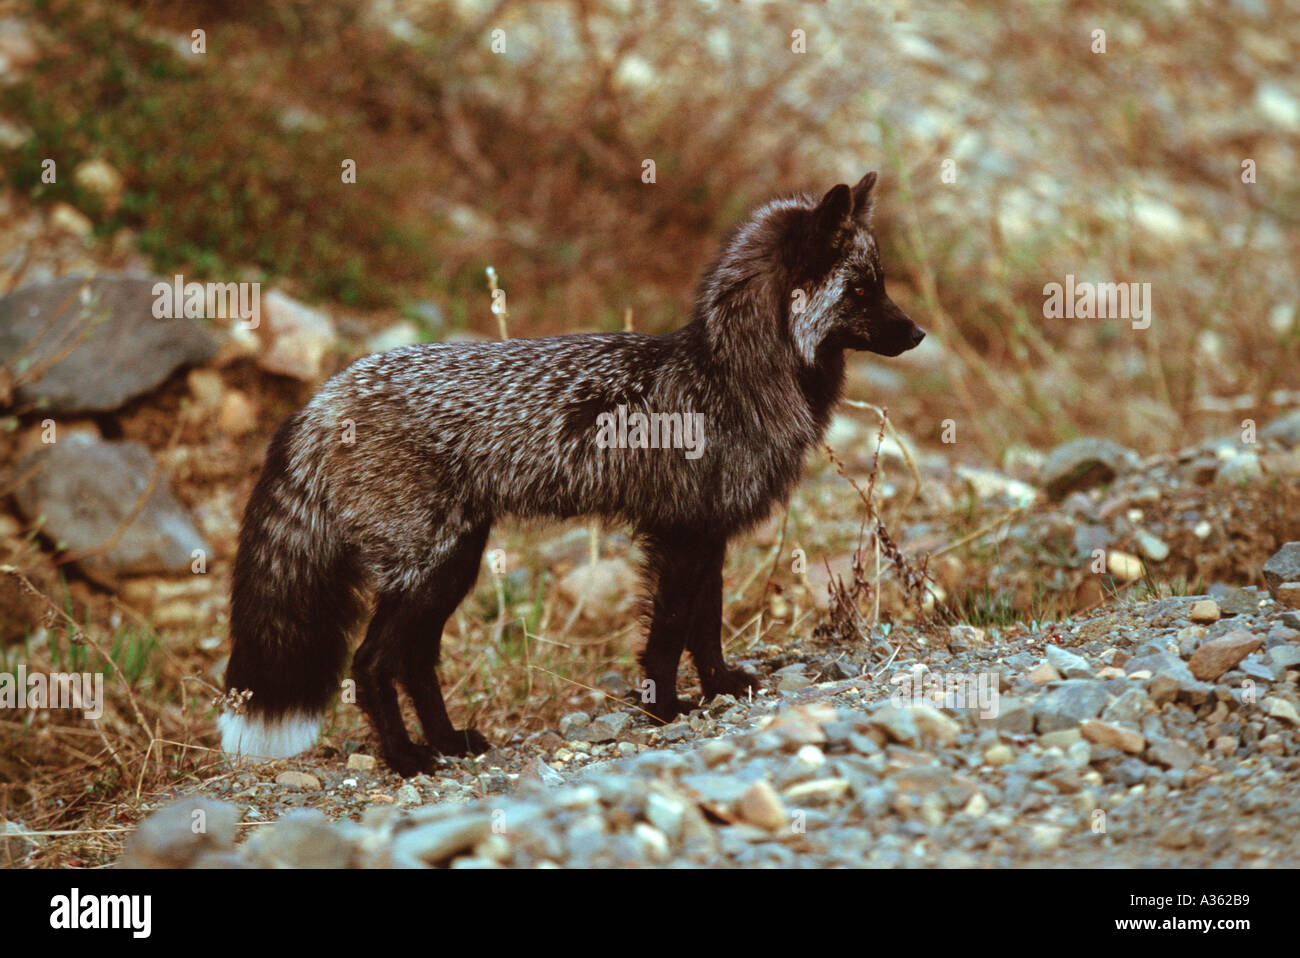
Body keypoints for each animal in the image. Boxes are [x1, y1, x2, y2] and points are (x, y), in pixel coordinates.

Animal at [219, 171, 925, 776]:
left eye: (878, 283)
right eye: (862, 289)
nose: (918, 334)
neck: (729, 375)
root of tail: (324, 397)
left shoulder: (708, 531)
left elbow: (707, 626)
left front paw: (721, 686)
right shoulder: (682, 536)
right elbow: (669, 633)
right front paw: (665, 709)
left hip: (451, 567)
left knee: (414, 661)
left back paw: (447, 741)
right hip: (427, 568)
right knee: (369, 666)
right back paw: (406, 758)